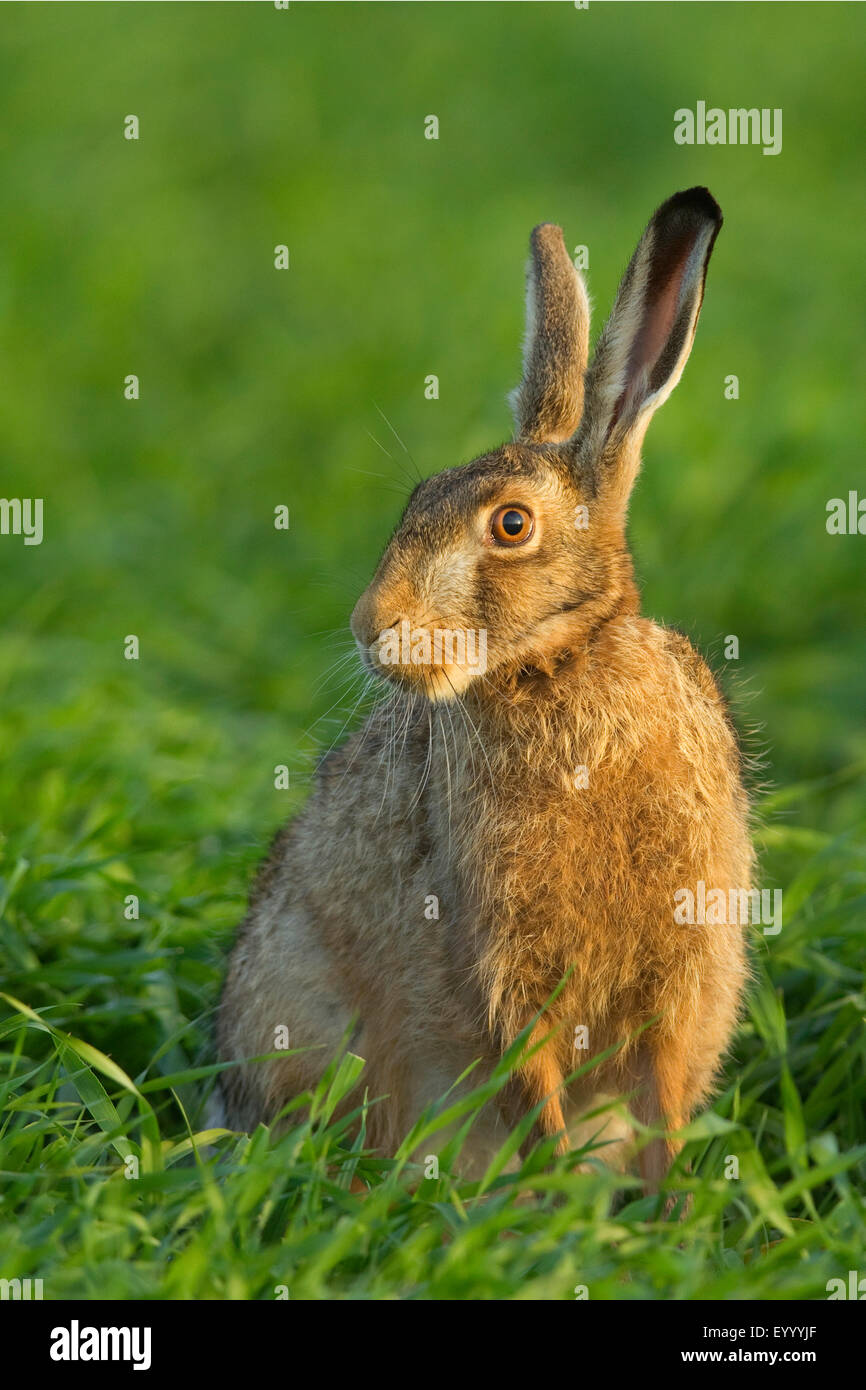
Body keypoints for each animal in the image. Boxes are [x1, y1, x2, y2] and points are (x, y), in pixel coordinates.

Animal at [217, 187, 753, 1190]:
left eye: (510, 526)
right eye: (415, 500)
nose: (370, 625)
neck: (564, 666)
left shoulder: (682, 965)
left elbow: (658, 1093)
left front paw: (663, 1207)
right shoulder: (495, 958)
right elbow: (529, 1081)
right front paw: (558, 1199)